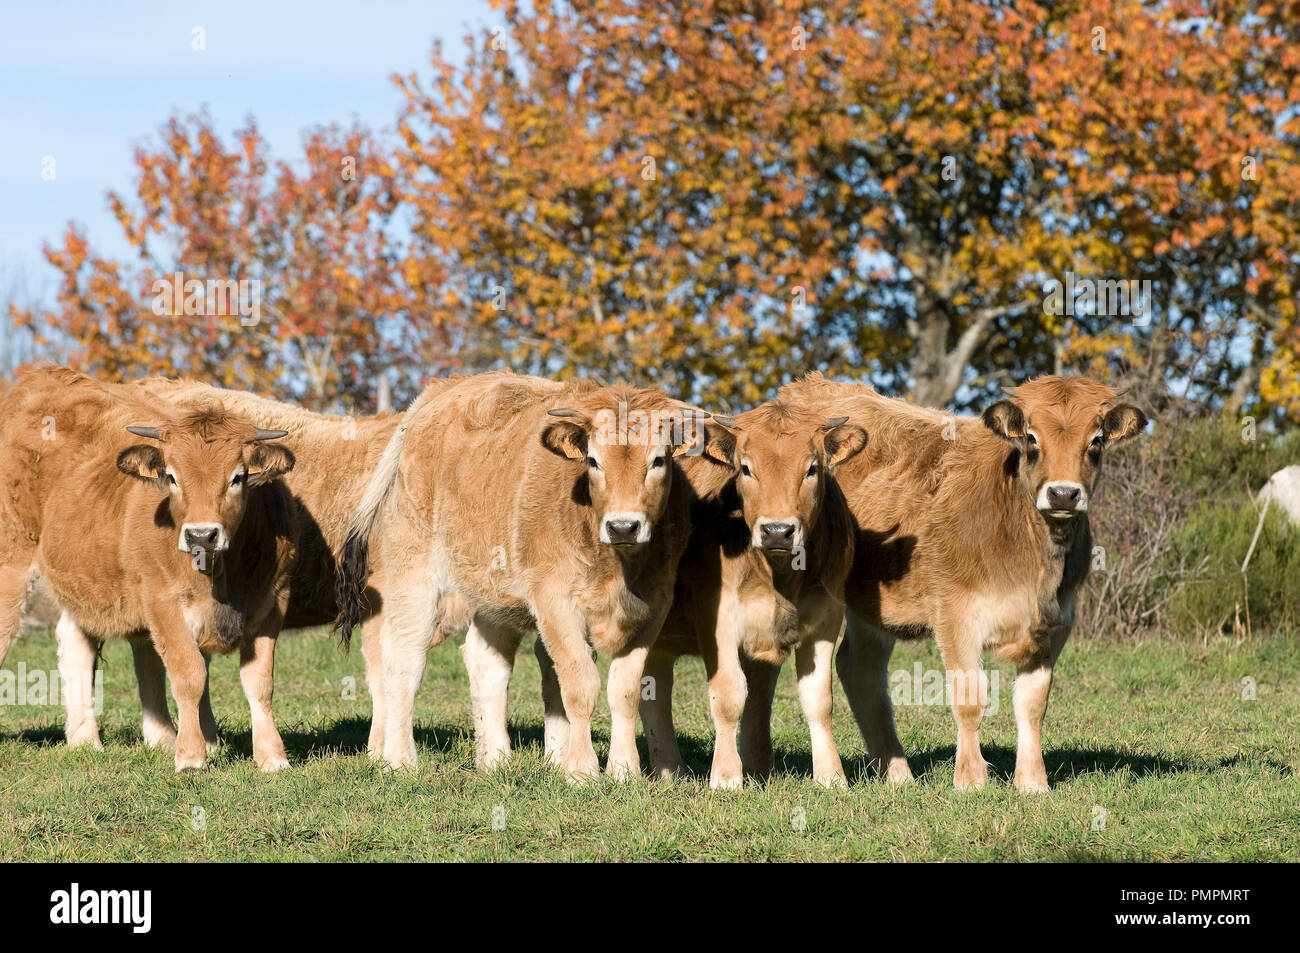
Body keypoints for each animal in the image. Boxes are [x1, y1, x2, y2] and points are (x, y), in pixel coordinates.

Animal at [0, 366, 297, 771]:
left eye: (238, 477)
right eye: (171, 476)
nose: (201, 535)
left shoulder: (272, 603)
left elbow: (259, 682)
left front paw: (271, 756)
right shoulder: (162, 600)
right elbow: (189, 673)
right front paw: (190, 756)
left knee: (78, 646)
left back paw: (92, 739)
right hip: (12, 562)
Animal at [335, 371, 732, 780]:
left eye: (658, 460)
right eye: (593, 460)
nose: (623, 526)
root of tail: (442, 391)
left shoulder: (652, 608)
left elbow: (624, 690)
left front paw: (623, 770)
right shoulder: (555, 604)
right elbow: (580, 685)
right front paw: (581, 771)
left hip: (492, 594)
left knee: (486, 663)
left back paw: (495, 759)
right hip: (413, 571)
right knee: (404, 656)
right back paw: (399, 760)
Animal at [636, 400, 866, 788]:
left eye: (812, 468)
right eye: (745, 468)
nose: (777, 531)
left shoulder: (826, 620)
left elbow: (817, 700)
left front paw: (831, 776)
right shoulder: (717, 619)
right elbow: (730, 695)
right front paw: (727, 776)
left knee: (656, 689)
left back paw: (672, 770)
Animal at [778, 373, 1146, 791]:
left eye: (1096, 441)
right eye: (1031, 438)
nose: (1064, 493)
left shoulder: (1055, 623)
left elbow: (1032, 705)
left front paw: (1032, 782)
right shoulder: (956, 615)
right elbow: (970, 698)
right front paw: (970, 779)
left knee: (861, 671)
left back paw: (897, 773)